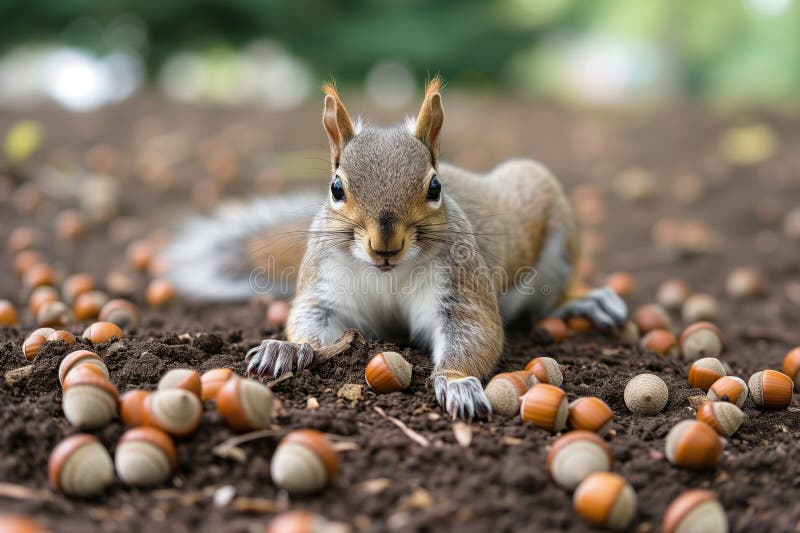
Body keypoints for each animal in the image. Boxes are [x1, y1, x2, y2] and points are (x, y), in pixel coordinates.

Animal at [165, 77, 627, 419]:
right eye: (336, 188)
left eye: (435, 187)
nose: (384, 245)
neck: (386, 274)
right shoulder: (328, 289)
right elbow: (312, 319)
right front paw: (288, 349)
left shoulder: (459, 287)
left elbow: (474, 331)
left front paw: (456, 382)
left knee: (547, 302)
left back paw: (586, 303)